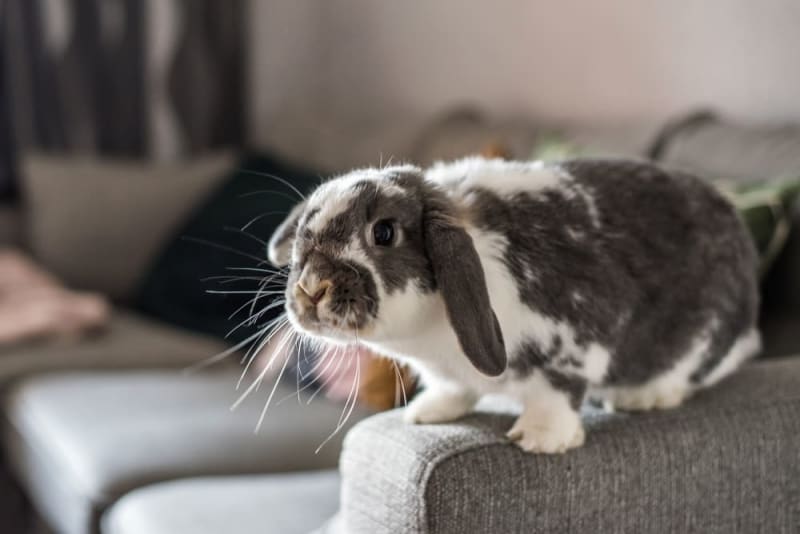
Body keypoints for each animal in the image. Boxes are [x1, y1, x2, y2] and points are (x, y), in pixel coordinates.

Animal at [267, 157, 760, 453]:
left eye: (384, 232)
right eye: (305, 229)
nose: (312, 288)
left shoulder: (573, 340)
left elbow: (556, 393)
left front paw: (541, 439)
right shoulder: (447, 372)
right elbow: (452, 389)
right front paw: (428, 413)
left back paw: (645, 396)